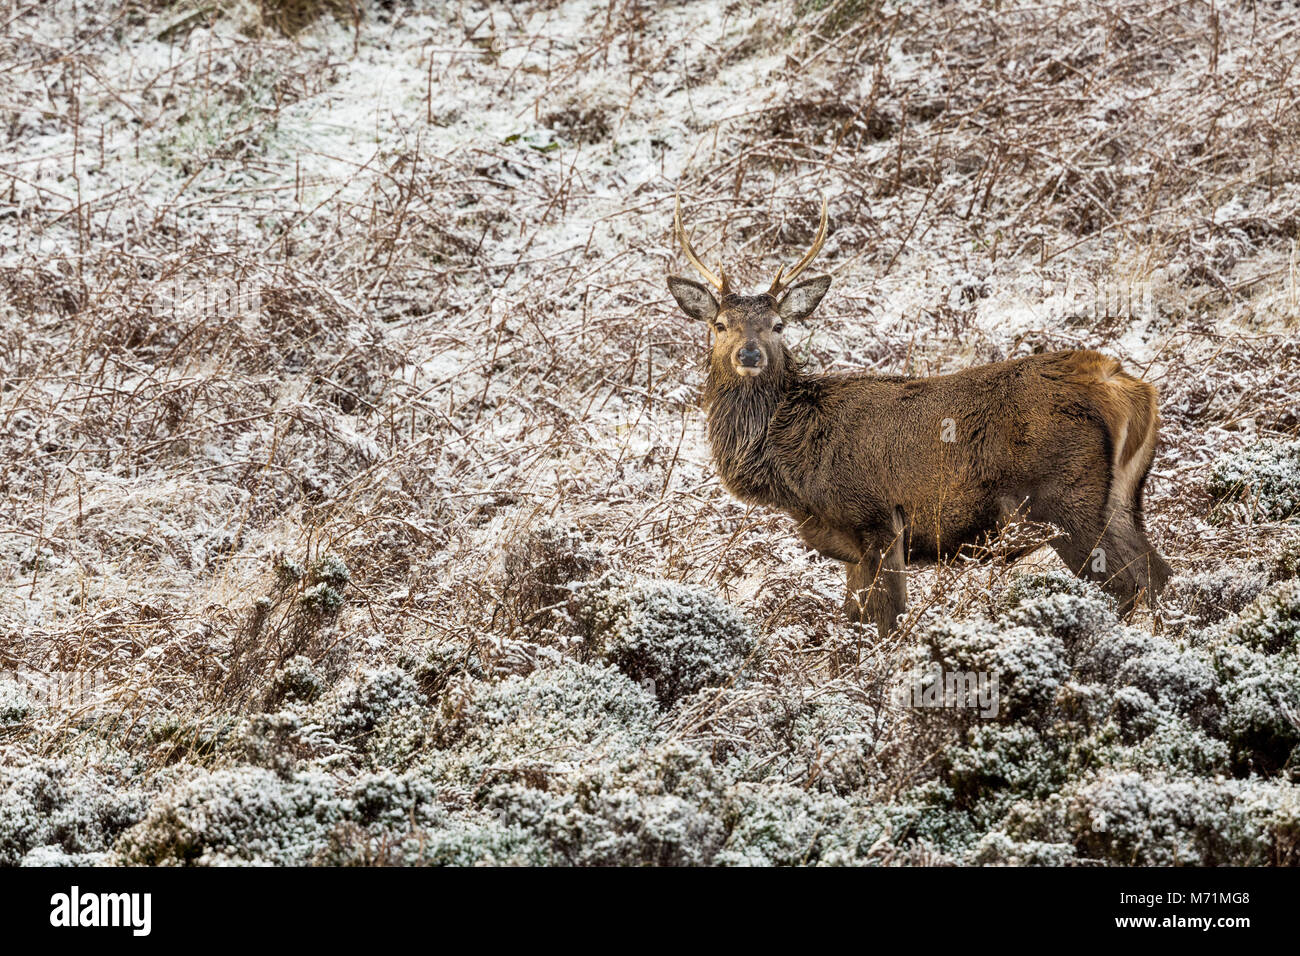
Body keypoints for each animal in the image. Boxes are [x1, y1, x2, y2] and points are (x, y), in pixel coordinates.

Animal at [667, 196, 1171, 641]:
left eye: (778, 325)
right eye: (719, 325)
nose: (749, 354)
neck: (794, 470)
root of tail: (1130, 387)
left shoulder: (877, 520)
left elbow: (885, 623)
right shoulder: (851, 547)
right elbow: (852, 622)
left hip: (1064, 500)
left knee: (1125, 586)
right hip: (1122, 500)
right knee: (1159, 575)